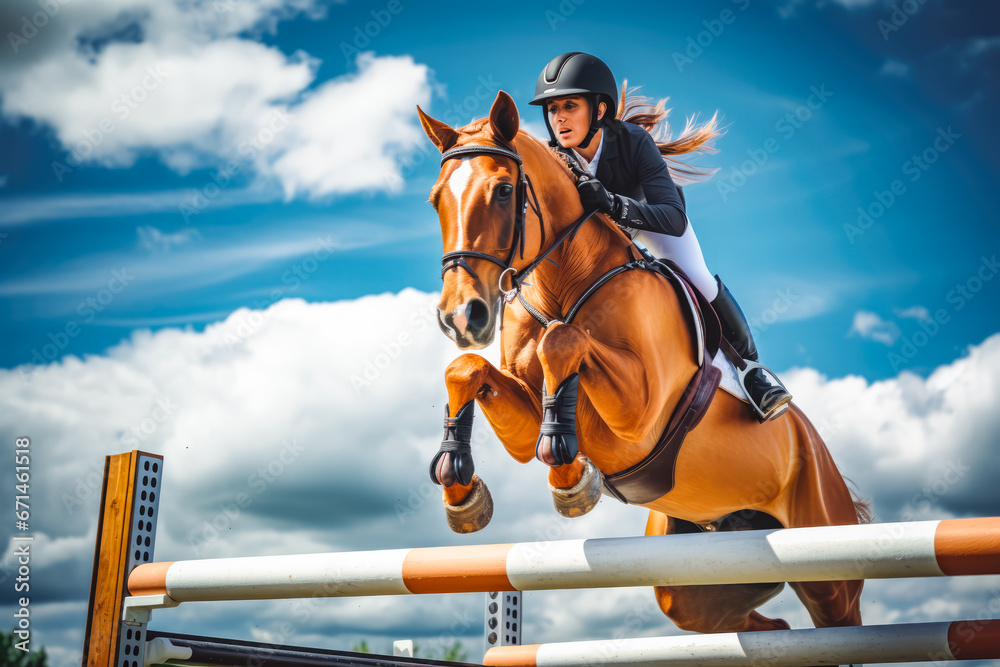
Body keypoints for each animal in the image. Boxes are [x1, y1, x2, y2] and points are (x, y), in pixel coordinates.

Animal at [416, 90, 870, 634]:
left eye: (504, 191)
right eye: (435, 200)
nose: (461, 317)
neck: (563, 282)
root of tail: (818, 451)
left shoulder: (640, 413)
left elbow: (561, 343)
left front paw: (570, 475)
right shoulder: (522, 417)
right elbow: (466, 370)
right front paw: (458, 481)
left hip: (829, 570)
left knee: (838, 619)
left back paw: (769, 392)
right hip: (699, 577)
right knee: (764, 627)